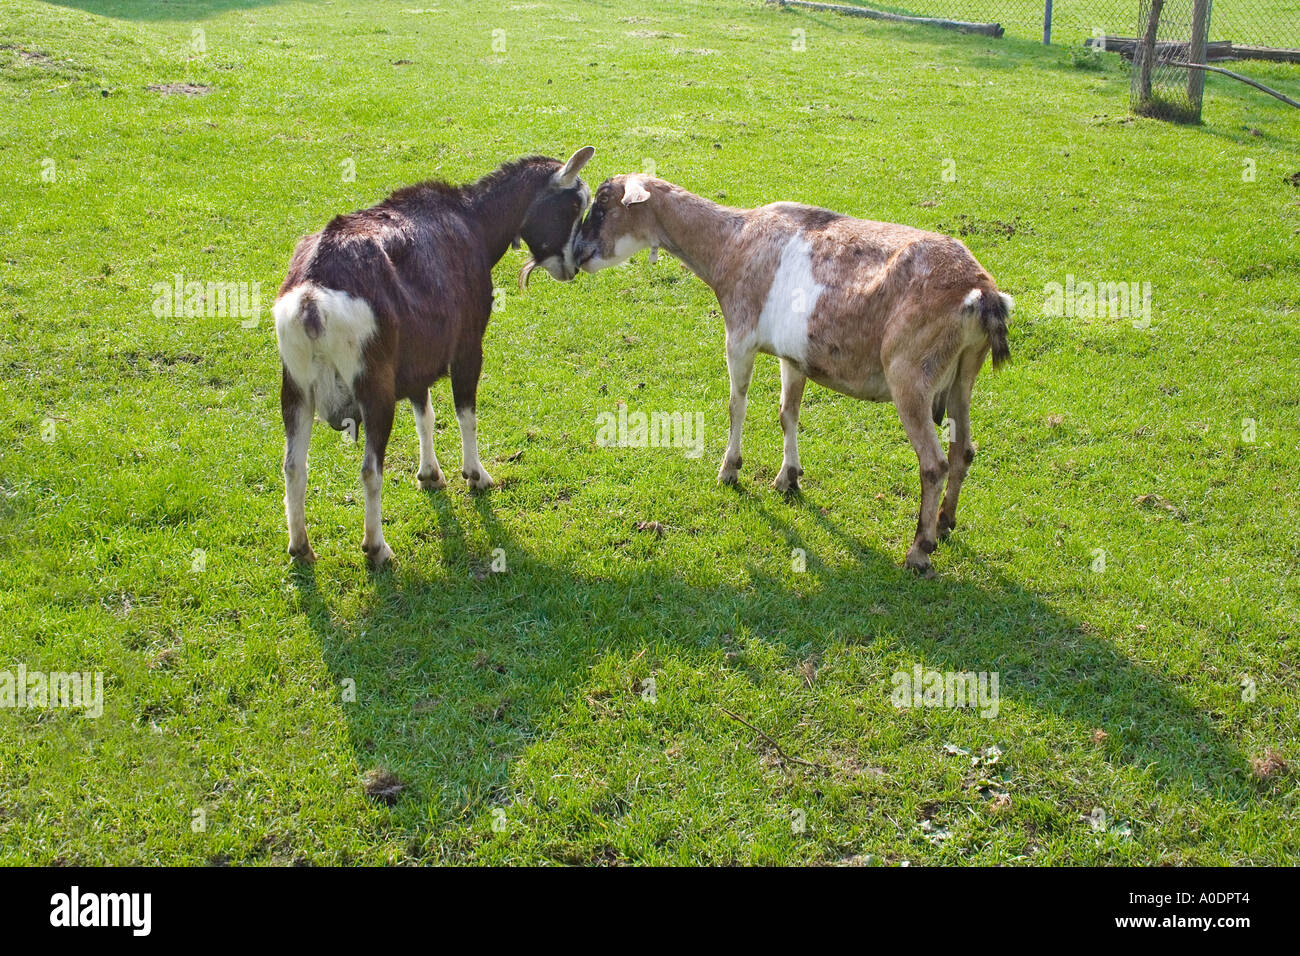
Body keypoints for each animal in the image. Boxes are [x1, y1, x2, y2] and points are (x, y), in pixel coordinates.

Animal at [274, 147, 595, 565]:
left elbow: (424, 415)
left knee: (294, 466)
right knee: (370, 470)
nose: (572, 267)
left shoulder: (416, 360)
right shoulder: (467, 347)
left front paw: (430, 475)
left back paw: (300, 547)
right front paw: (476, 475)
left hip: (295, 387)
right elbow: (465, 414)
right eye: (573, 205)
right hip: (373, 387)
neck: (472, 221)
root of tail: (312, 299)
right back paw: (377, 548)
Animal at [572, 174, 1011, 574]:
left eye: (603, 205)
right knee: (963, 449)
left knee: (933, 464)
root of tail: (982, 294)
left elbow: (736, 405)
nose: (578, 254)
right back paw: (946, 523)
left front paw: (729, 470)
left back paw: (919, 550)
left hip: (910, 377)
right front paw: (788, 478)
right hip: (963, 375)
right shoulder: (793, 356)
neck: (730, 244)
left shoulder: (740, 337)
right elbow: (788, 413)